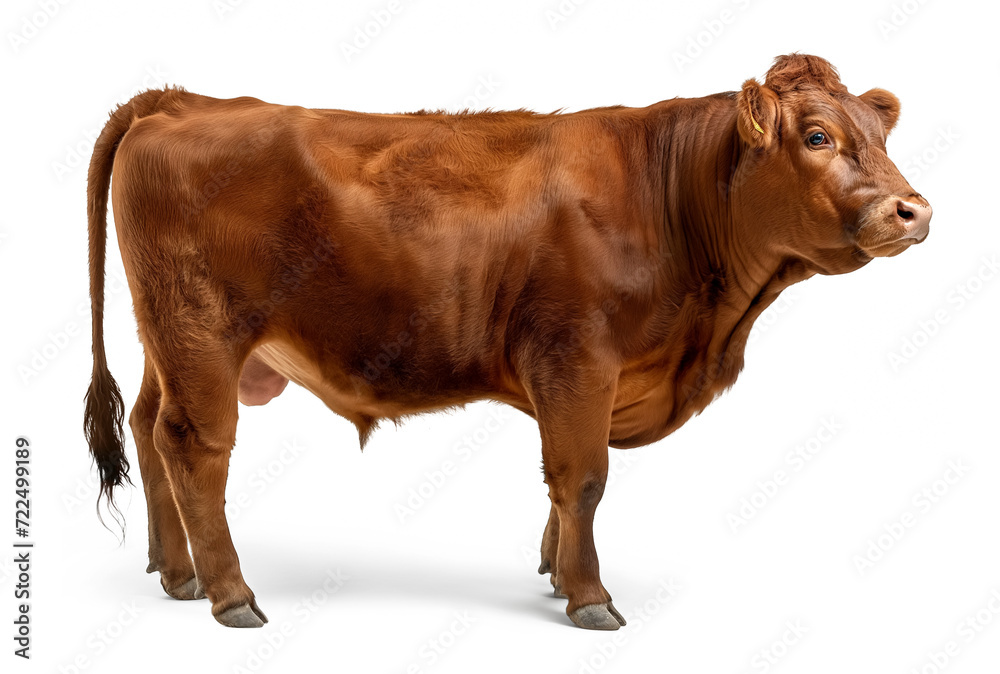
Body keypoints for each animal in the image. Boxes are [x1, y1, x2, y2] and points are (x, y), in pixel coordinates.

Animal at [83, 54, 931, 630]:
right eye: (817, 136)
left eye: (880, 134)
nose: (912, 210)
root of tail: (182, 102)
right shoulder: (575, 357)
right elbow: (583, 478)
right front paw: (590, 597)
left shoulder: (586, 379)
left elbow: (562, 484)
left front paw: (554, 571)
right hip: (201, 334)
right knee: (195, 446)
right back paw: (229, 593)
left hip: (166, 338)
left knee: (148, 427)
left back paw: (176, 572)